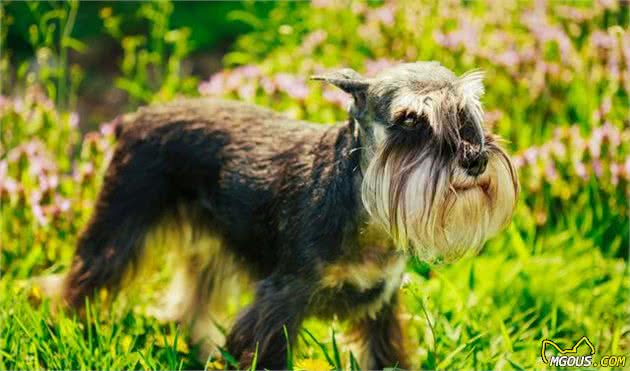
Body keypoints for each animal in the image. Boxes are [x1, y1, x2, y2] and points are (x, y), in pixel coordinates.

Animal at [58, 61, 520, 370]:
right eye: (410, 119)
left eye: (468, 112)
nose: (476, 159)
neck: (361, 206)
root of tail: (132, 118)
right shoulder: (279, 306)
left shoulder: (381, 307)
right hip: (118, 229)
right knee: (83, 279)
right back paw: (71, 330)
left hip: (209, 246)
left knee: (195, 303)